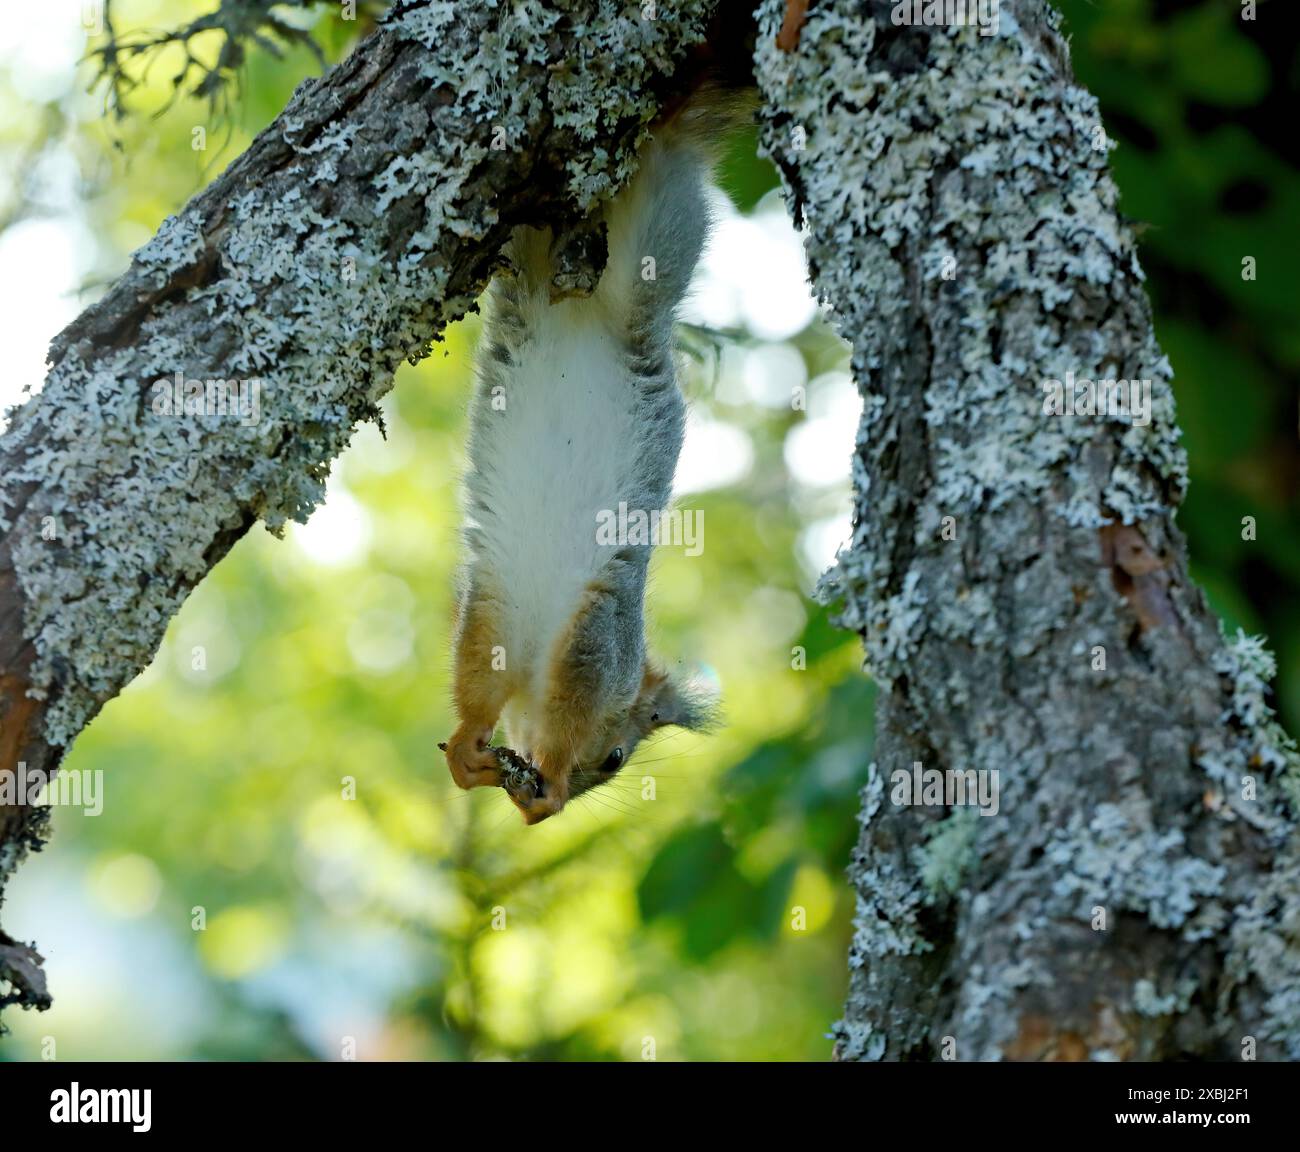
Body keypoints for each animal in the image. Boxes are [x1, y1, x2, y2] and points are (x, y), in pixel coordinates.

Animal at [441, 86, 750, 824]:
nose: (542, 817)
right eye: (615, 758)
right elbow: (526, 694)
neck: (534, 656)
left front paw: (500, 768)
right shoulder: (590, 632)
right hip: (664, 239)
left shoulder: (504, 609)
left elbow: (479, 679)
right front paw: (542, 777)